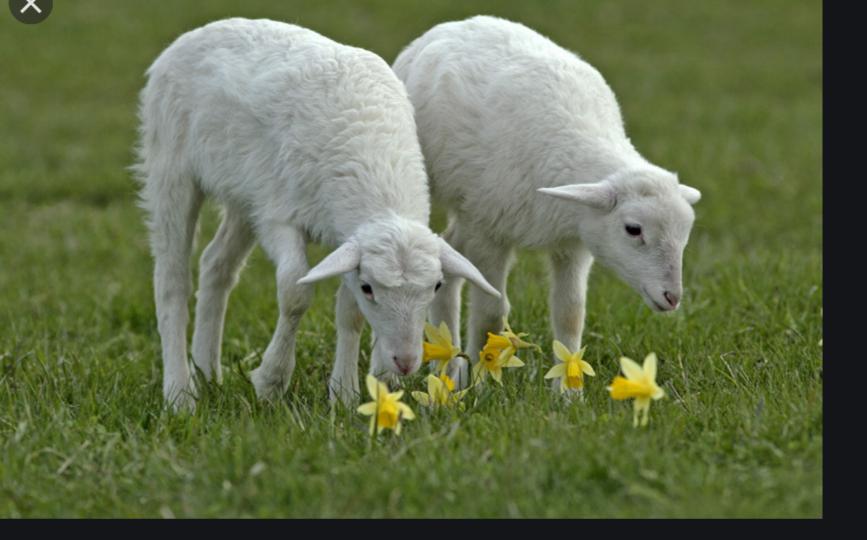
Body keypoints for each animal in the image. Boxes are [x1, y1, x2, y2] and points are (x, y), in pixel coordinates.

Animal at [133, 18, 500, 410]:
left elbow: (349, 312)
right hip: (171, 166)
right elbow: (294, 291)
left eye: (436, 286)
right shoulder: (279, 216)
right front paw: (271, 380)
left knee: (216, 264)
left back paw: (207, 373)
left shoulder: (342, 235)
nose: (405, 362)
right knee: (171, 279)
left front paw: (343, 394)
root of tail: (199, 31)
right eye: (370, 288)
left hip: (246, 195)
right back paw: (179, 394)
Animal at [393, 16, 702, 388]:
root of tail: (458, 23)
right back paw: (451, 368)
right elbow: (491, 314)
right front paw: (484, 383)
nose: (673, 298)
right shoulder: (491, 233)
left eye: (685, 236)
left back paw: (451, 367)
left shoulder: (574, 243)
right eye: (633, 229)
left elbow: (570, 313)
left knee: (450, 251)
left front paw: (568, 391)